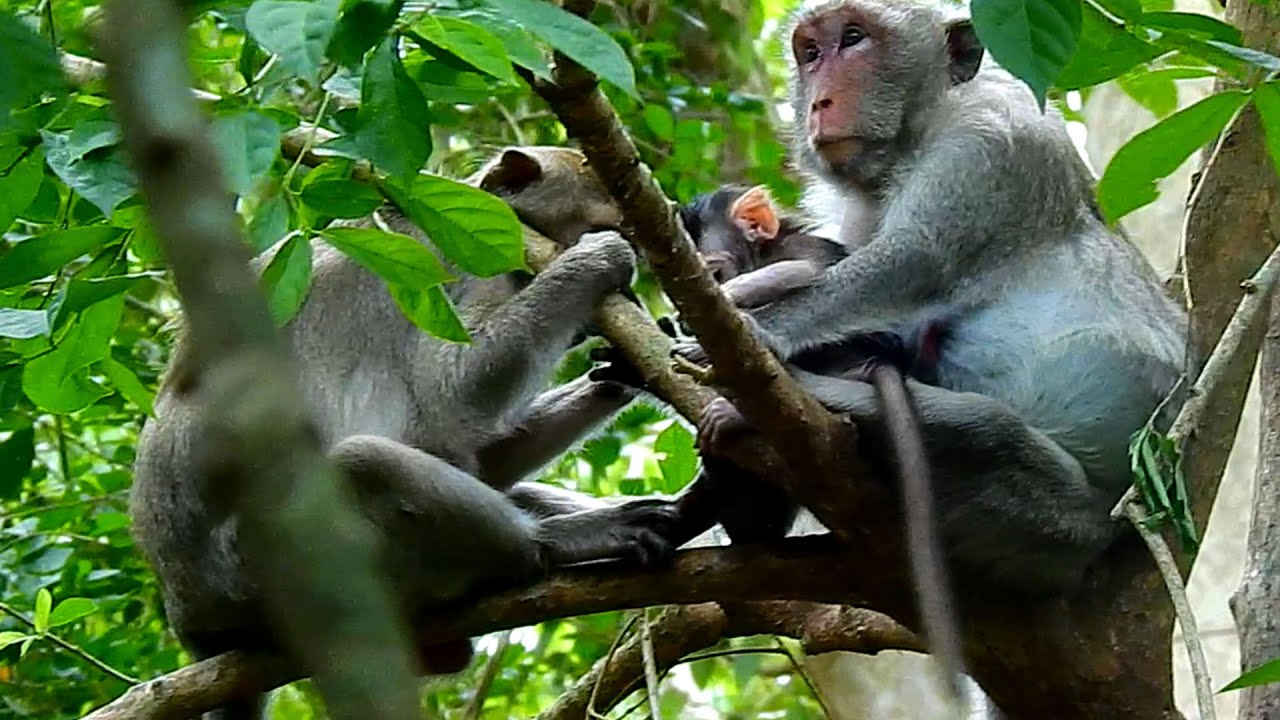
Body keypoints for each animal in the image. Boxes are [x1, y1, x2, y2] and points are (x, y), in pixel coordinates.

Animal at [131, 147, 685, 720]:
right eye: (614, 225)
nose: (631, 289)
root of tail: (197, 624)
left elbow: (467, 450)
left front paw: (628, 371)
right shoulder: (450, 273)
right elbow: (445, 399)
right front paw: (595, 262)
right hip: (271, 572)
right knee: (362, 462)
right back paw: (555, 543)